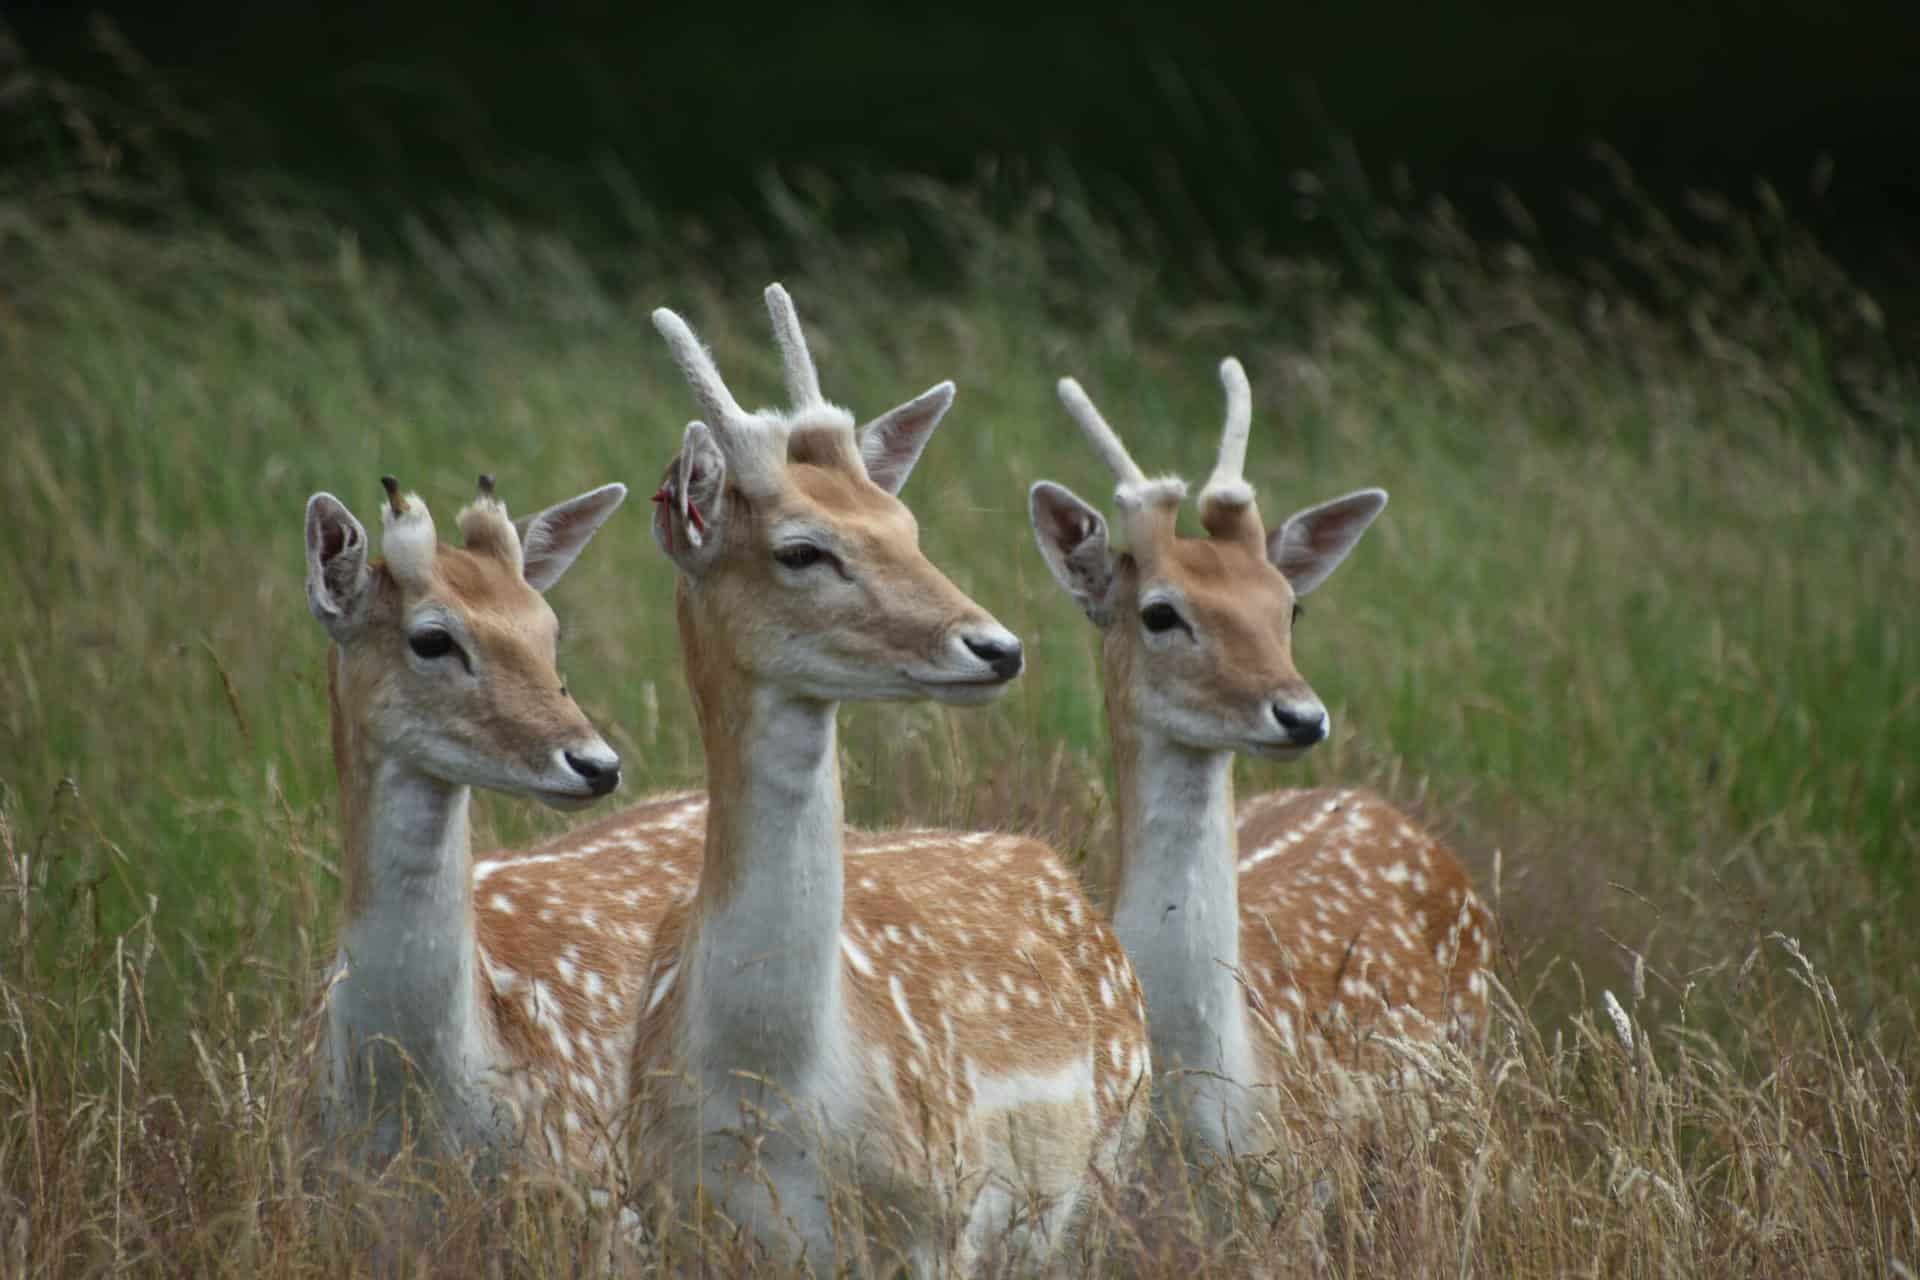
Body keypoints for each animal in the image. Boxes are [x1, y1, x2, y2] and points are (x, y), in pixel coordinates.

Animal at [623, 284, 1151, 1273]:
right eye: (801, 549)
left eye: (905, 527)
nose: (997, 646)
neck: (773, 1091)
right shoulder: (669, 1214)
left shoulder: (933, 1215)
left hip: (1104, 1168)